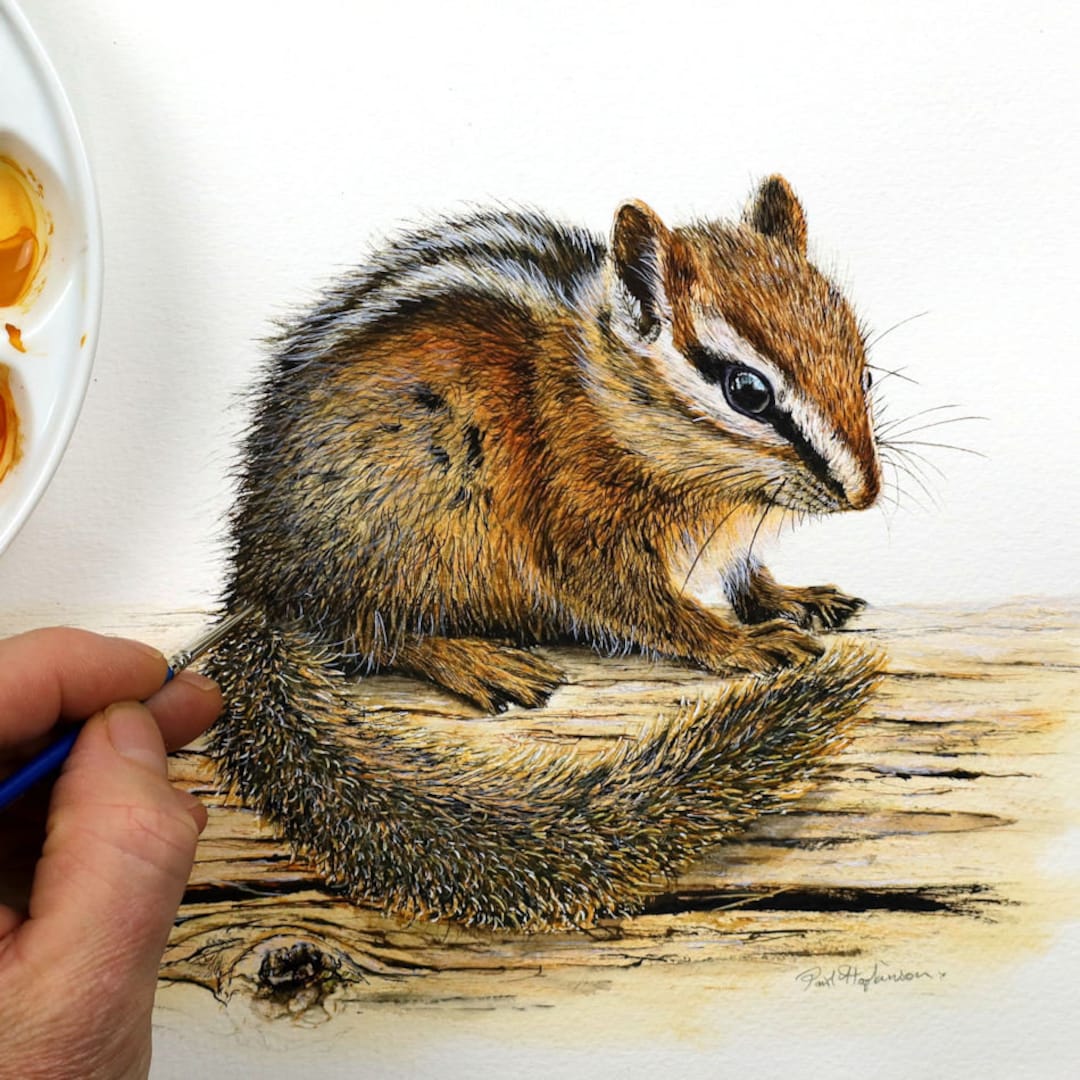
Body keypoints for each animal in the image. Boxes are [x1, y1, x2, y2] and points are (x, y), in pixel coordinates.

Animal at [205, 175, 884, 931]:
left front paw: (792, 598)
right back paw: (471, 660)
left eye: (863, 369)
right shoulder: (578, 525)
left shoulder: (732, 540)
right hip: (399, 526)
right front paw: (736, 642)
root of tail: (256, 581)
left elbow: (746, 576)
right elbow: (642, 606)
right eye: (748, 391)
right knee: (370, 630)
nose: (866, 493)